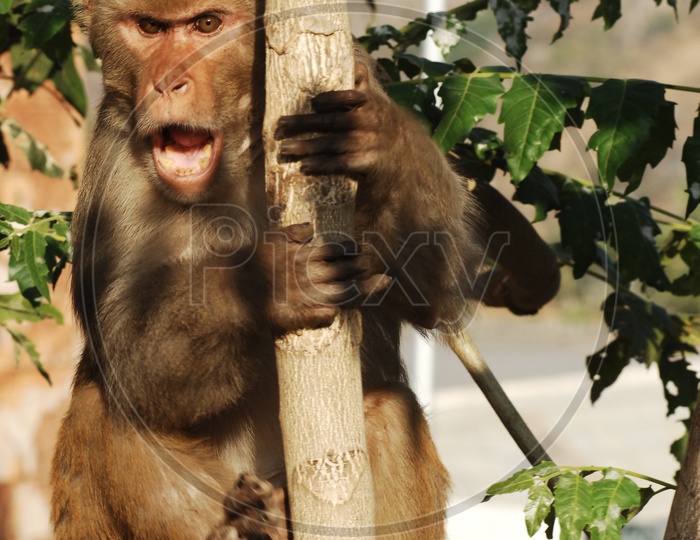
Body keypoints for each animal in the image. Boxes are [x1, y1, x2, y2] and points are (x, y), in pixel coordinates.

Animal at [50, 1, 559, 539]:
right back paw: (252, 524)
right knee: (106, 402)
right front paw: (269, 284)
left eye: (207, 25)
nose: (167, 82)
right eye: (149, 28)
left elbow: (434, 293)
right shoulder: (114, 162)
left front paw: (379, 139)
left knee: (391, 412)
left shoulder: (353, 73)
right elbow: (130, 360)